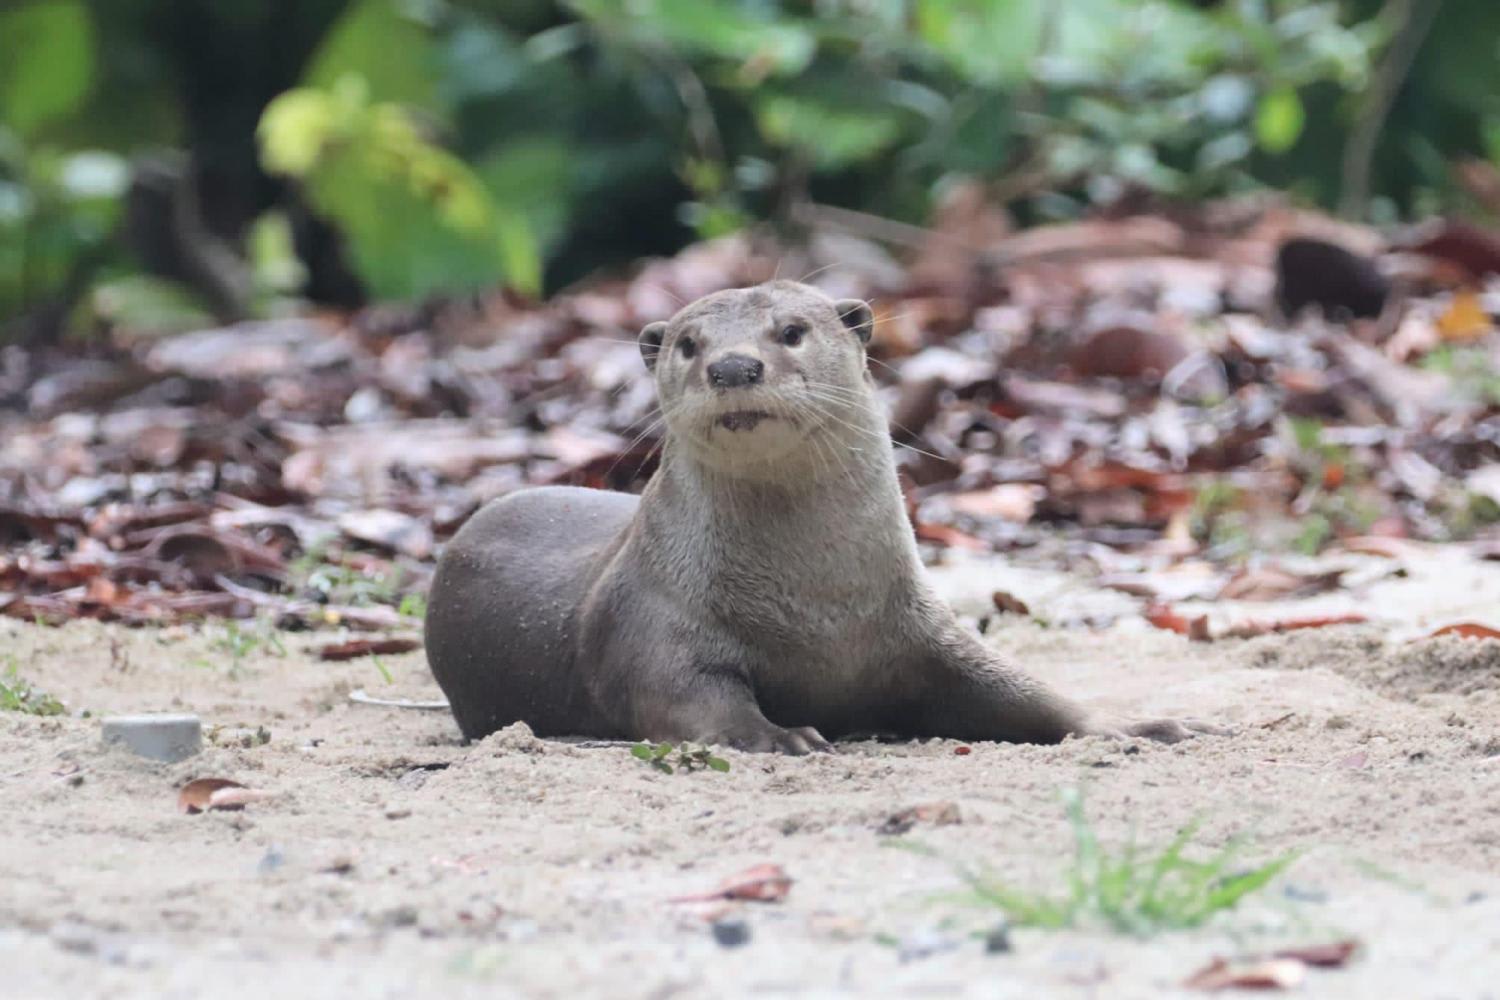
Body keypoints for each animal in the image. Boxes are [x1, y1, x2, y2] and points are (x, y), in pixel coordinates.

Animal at [425, 281, 1213, 752]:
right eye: (688, 344)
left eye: (792, 331)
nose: (733, 367)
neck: (817, 606)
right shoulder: (655, 623)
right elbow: (688, 697)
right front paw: (782, 736)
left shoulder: (923, 629)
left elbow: (1027, 694)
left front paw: (1138, 725)